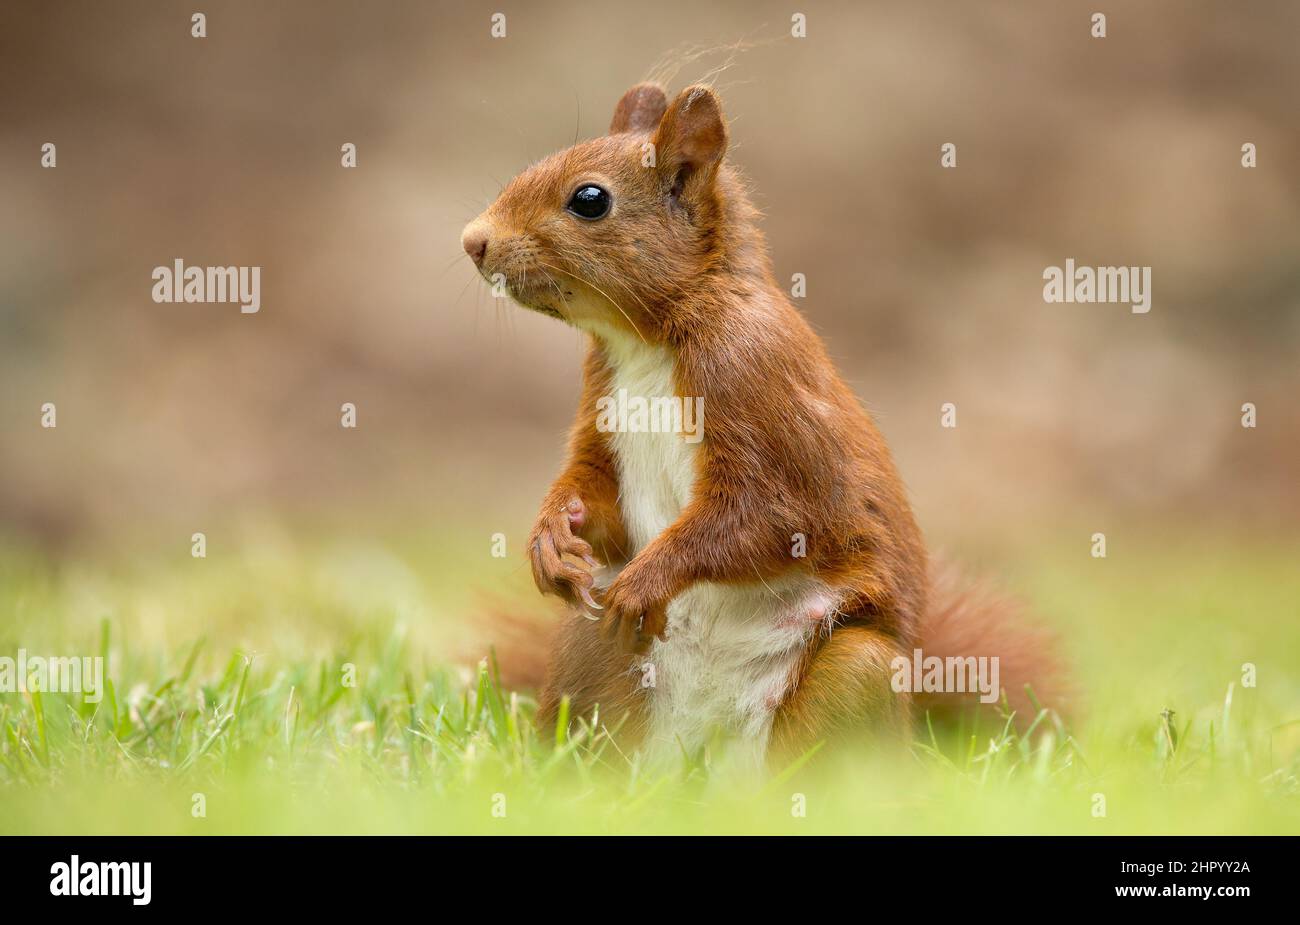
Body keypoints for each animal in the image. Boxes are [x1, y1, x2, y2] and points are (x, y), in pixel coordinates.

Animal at [462, 82, 1065, 770]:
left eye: (590, 200)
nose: (473, 241)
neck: (650, 339)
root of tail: (702, 753)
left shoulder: (757, 385)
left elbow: (762, 515)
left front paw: (645, 580)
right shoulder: (601, 407)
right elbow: (594, 492)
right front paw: (552, 537)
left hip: (852, 676)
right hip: (589, 652)